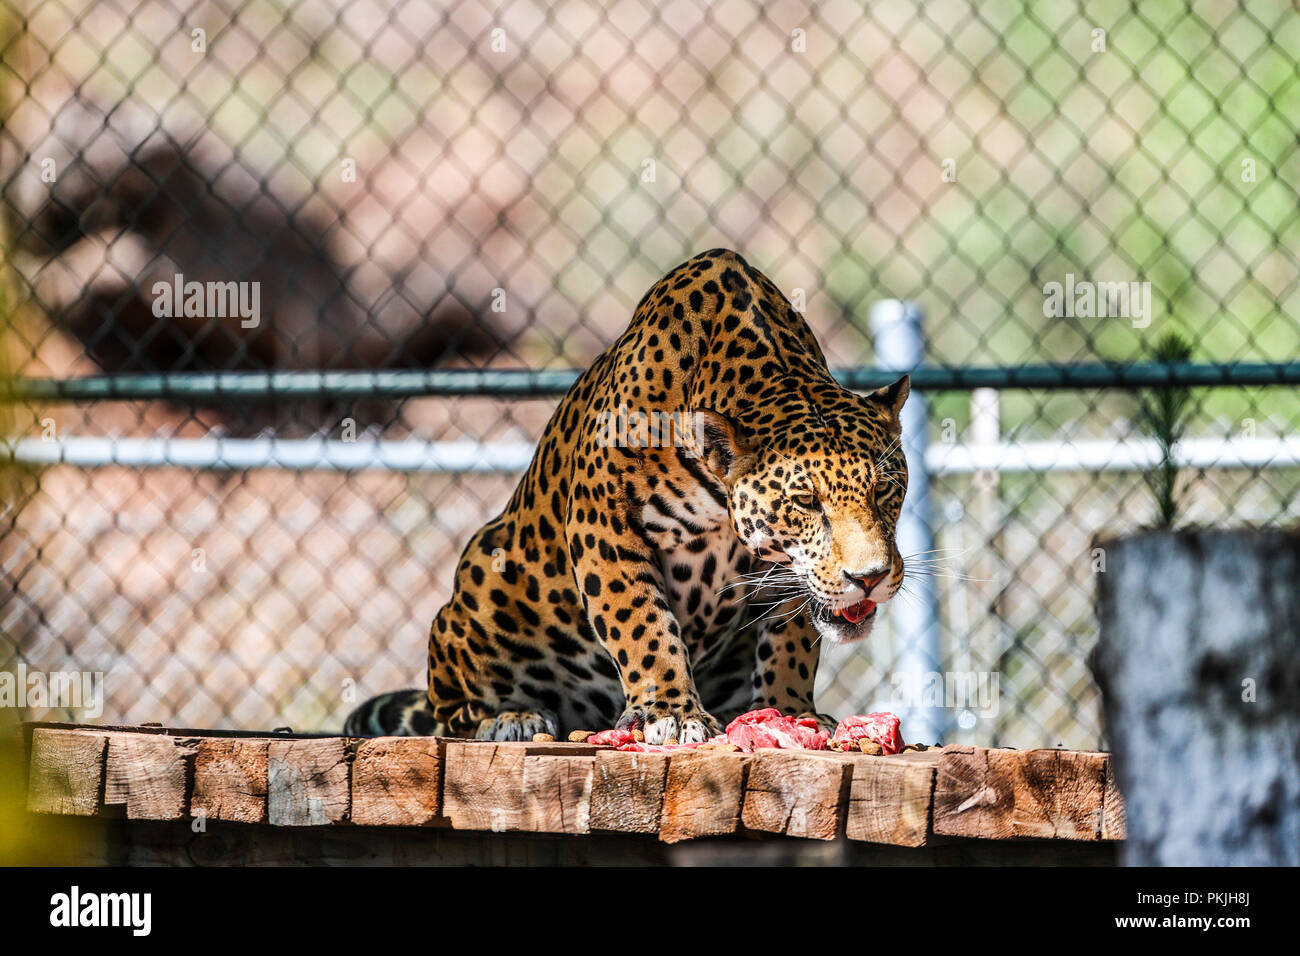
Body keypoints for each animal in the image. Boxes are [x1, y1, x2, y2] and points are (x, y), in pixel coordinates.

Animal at [344, 249, 909, 743]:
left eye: (885, 490)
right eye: (807, 502)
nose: (870, 577)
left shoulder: (785, 572)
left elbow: (791, 639)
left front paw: (789, 712)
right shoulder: (604, 523)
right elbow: (640, 620)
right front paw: (673, 713)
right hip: (484, 571)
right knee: (455, 709)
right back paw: (512, 717)